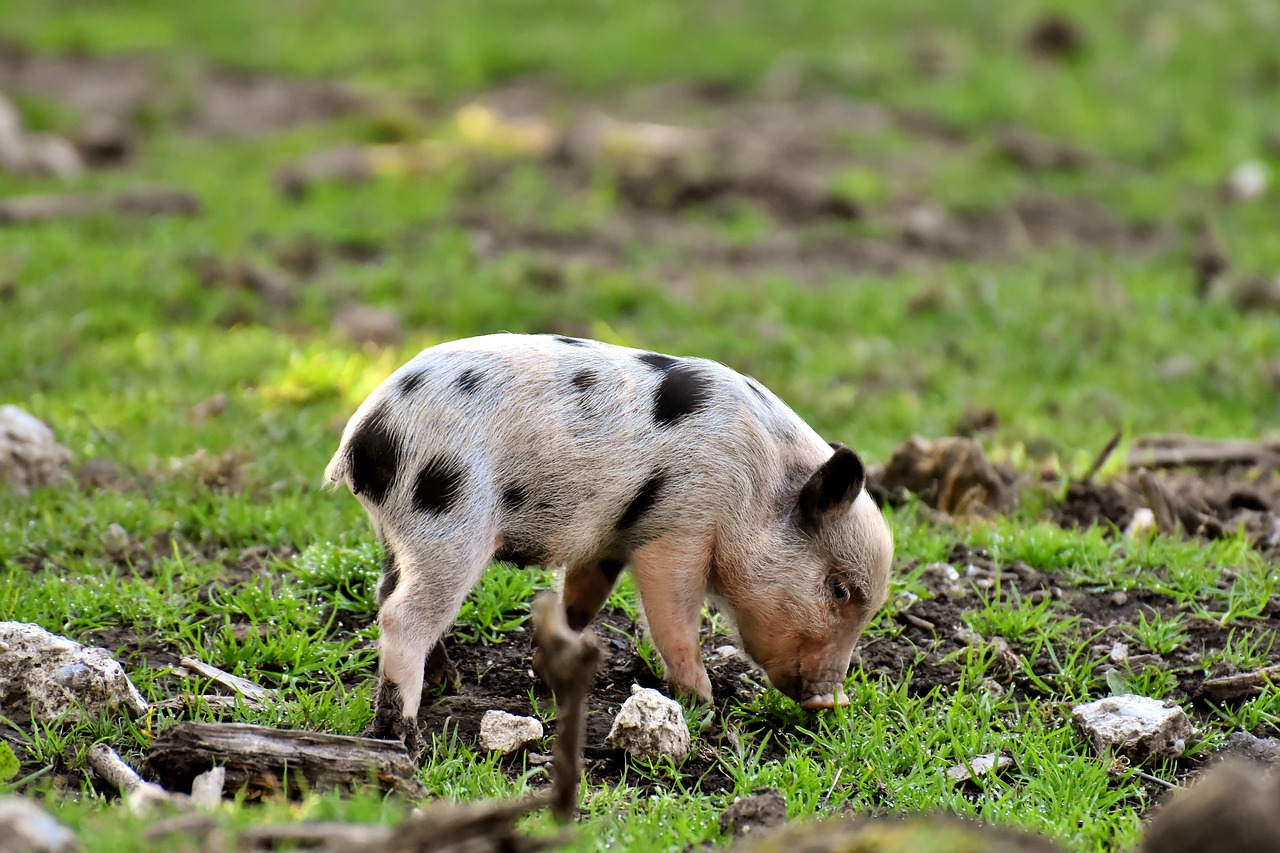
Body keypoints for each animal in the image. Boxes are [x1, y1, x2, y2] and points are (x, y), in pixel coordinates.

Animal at [325, 333, 893, 753]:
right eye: (840, 589)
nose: (831, 700)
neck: (756, 487)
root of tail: (363, 438)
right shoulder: (678, 528)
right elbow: (673, 619)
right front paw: (704, 704)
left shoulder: (609, 539)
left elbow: (581, 600)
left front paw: (553, 664)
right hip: (449, 522)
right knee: (402, 616)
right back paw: (402, 737)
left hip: (401, 533)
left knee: (386, 593)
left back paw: (451, 681)